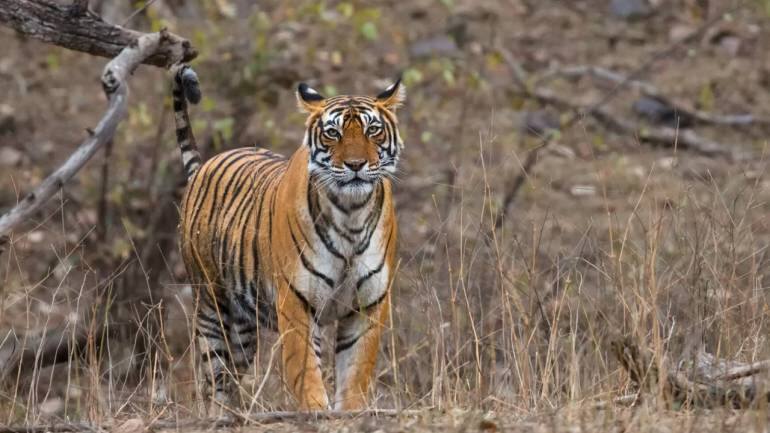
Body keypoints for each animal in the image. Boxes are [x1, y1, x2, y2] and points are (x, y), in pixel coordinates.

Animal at [170, 64, 404, 411]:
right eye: (333, 133)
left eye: (372, 130)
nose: (355, 165)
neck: (351, 212)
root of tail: (204, 166)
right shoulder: (296, 299)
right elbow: (304, 366)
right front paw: (316, 411)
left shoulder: (369, 303)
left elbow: (356, 371)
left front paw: (350, 411)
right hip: (212, 305)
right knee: (215, 380)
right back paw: (219, 415)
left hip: (243, 330)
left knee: (231, 373)